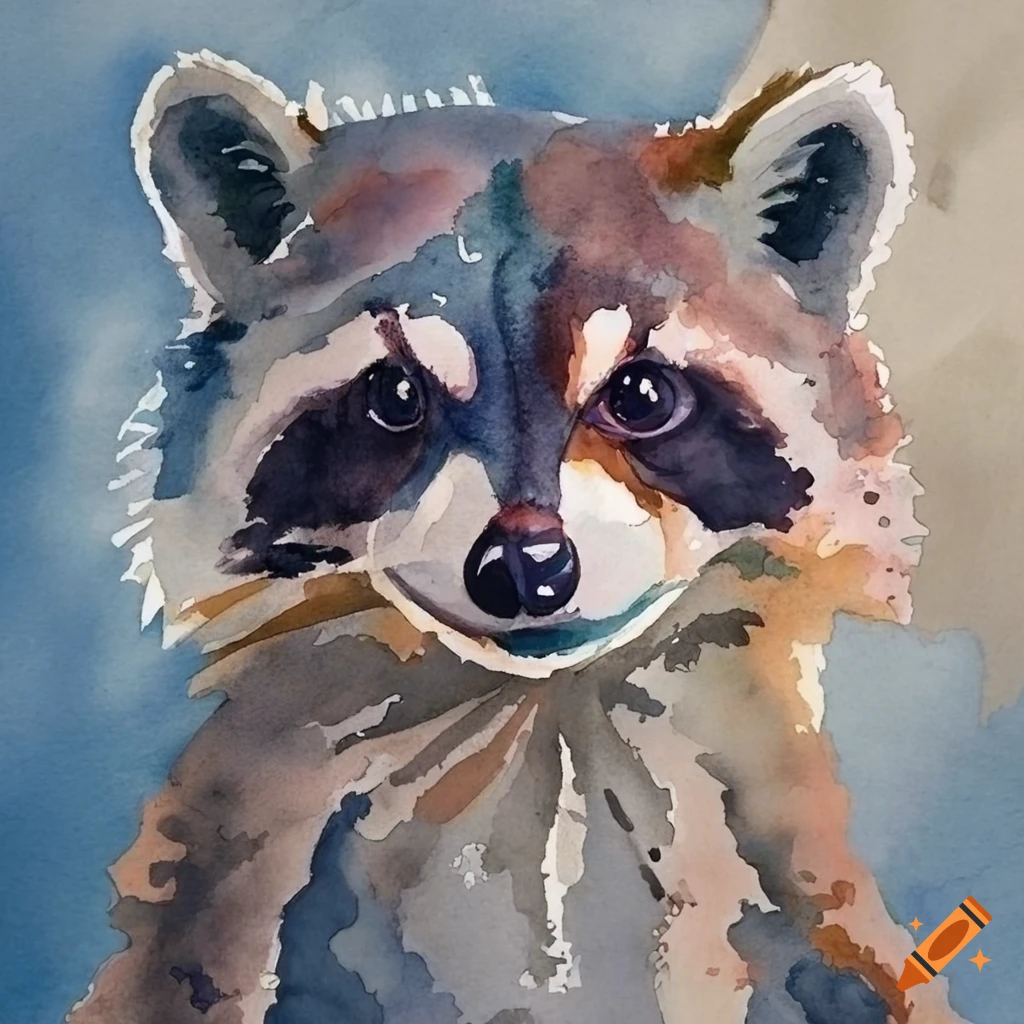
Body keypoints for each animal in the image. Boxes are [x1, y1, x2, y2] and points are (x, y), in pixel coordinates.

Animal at [71, 51, 969, 1024]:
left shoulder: (778, 857)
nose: (525, 565)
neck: (540, 720)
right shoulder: (243, 844)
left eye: (640, 397)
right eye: (395, 397)